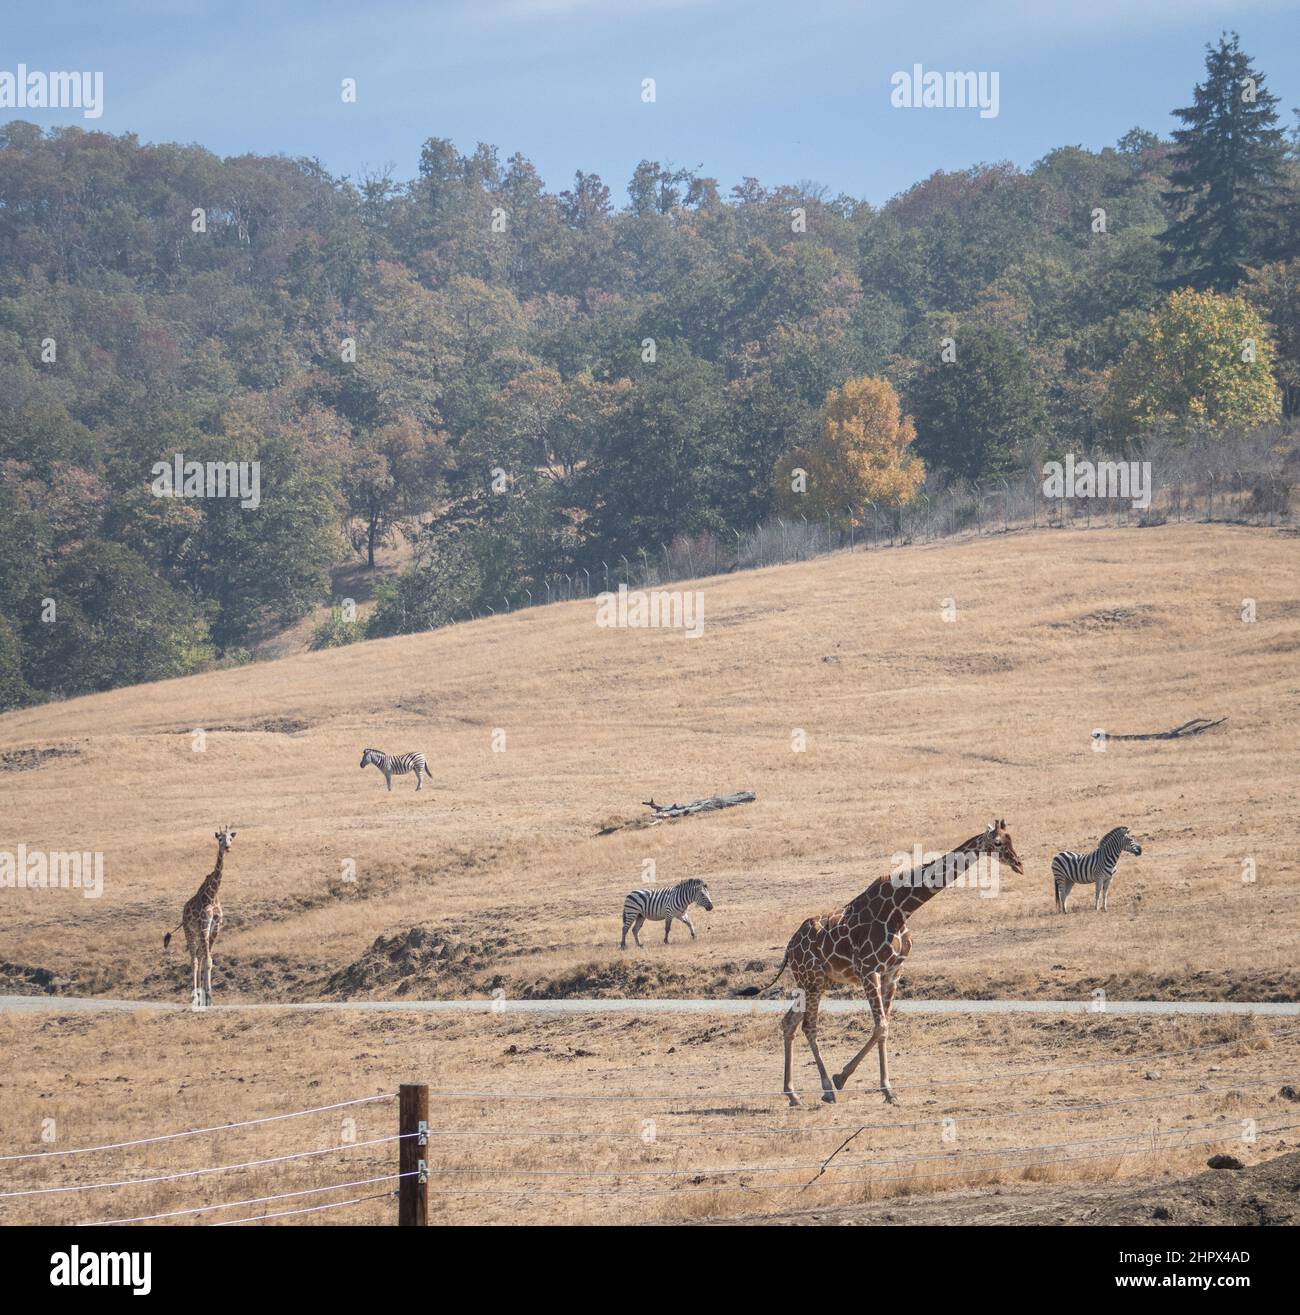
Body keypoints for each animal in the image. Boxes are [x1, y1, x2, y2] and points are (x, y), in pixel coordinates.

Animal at [162, 825, 235, 1009]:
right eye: (220, 838)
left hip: (199, 933)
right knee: (194, 959)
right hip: (190, 932)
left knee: (200, 956)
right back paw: (194, 998)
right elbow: (206, 960)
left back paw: (201, 997)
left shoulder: (215, 927)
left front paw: (209, 998)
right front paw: (207, 997)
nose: (227, 847)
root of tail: (183, 912)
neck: (212, 895)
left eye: (231, 838)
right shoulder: (203, 924)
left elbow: (209, 961)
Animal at [736, 815, 1020, 1104]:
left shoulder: (893, 973)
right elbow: (880, 1026)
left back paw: (793, 1094)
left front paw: (873, 1085)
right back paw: (826, 1089)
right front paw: (857, 1083)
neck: (901, 909)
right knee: (808, 1026)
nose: (1018, 864)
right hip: (813, 981)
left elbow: (883, 1027)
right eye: (998, 842)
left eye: (1012, 840)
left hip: (815, 982)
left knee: (788, 1022)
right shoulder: (868, 971)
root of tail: (789, 948)